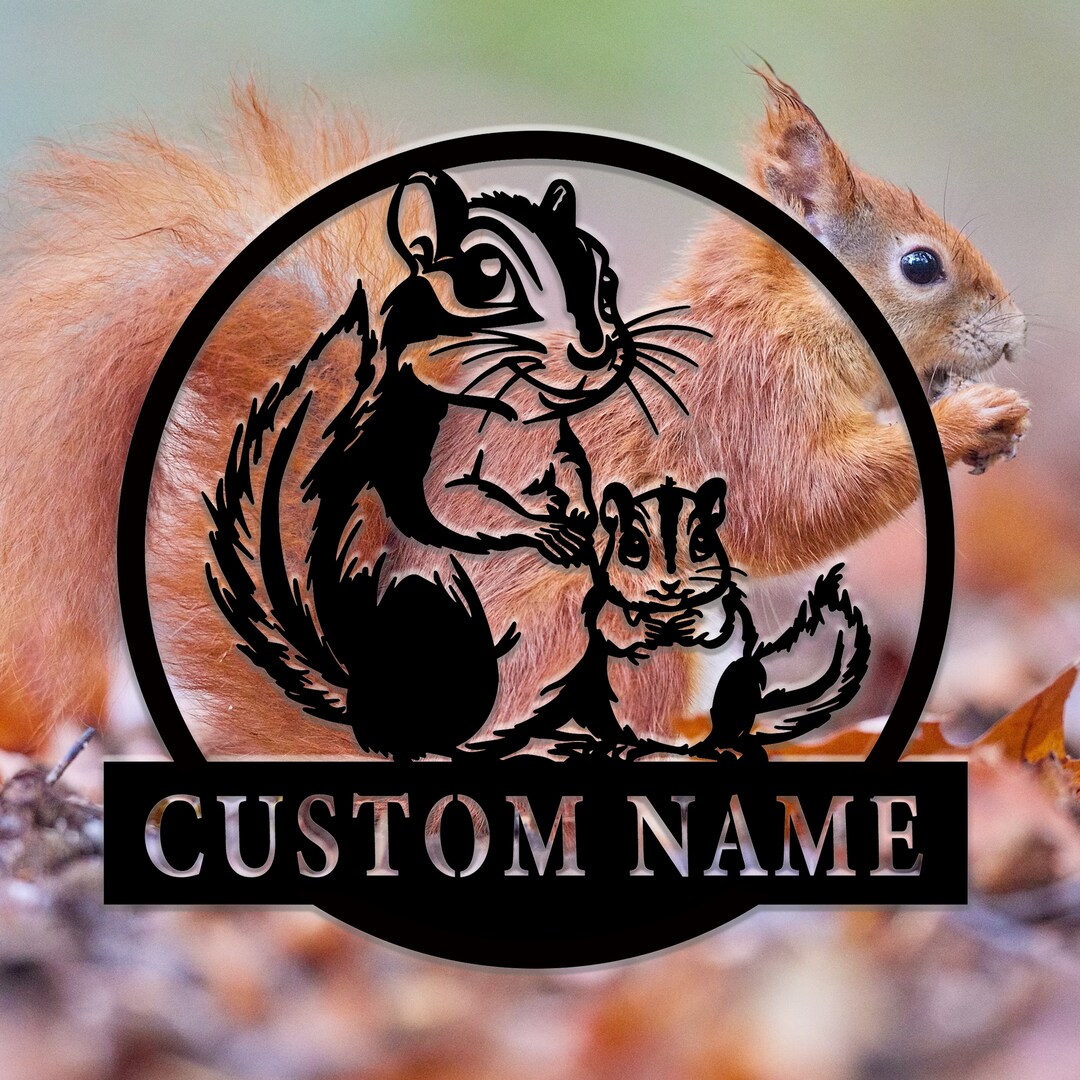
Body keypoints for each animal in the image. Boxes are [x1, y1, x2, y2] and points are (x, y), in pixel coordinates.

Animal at [0, 74, 1028, 755]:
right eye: (921, 265)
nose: (1016, 333)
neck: (781, 313)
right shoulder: (746, 400)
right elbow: (800, 499)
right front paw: (970, 421)